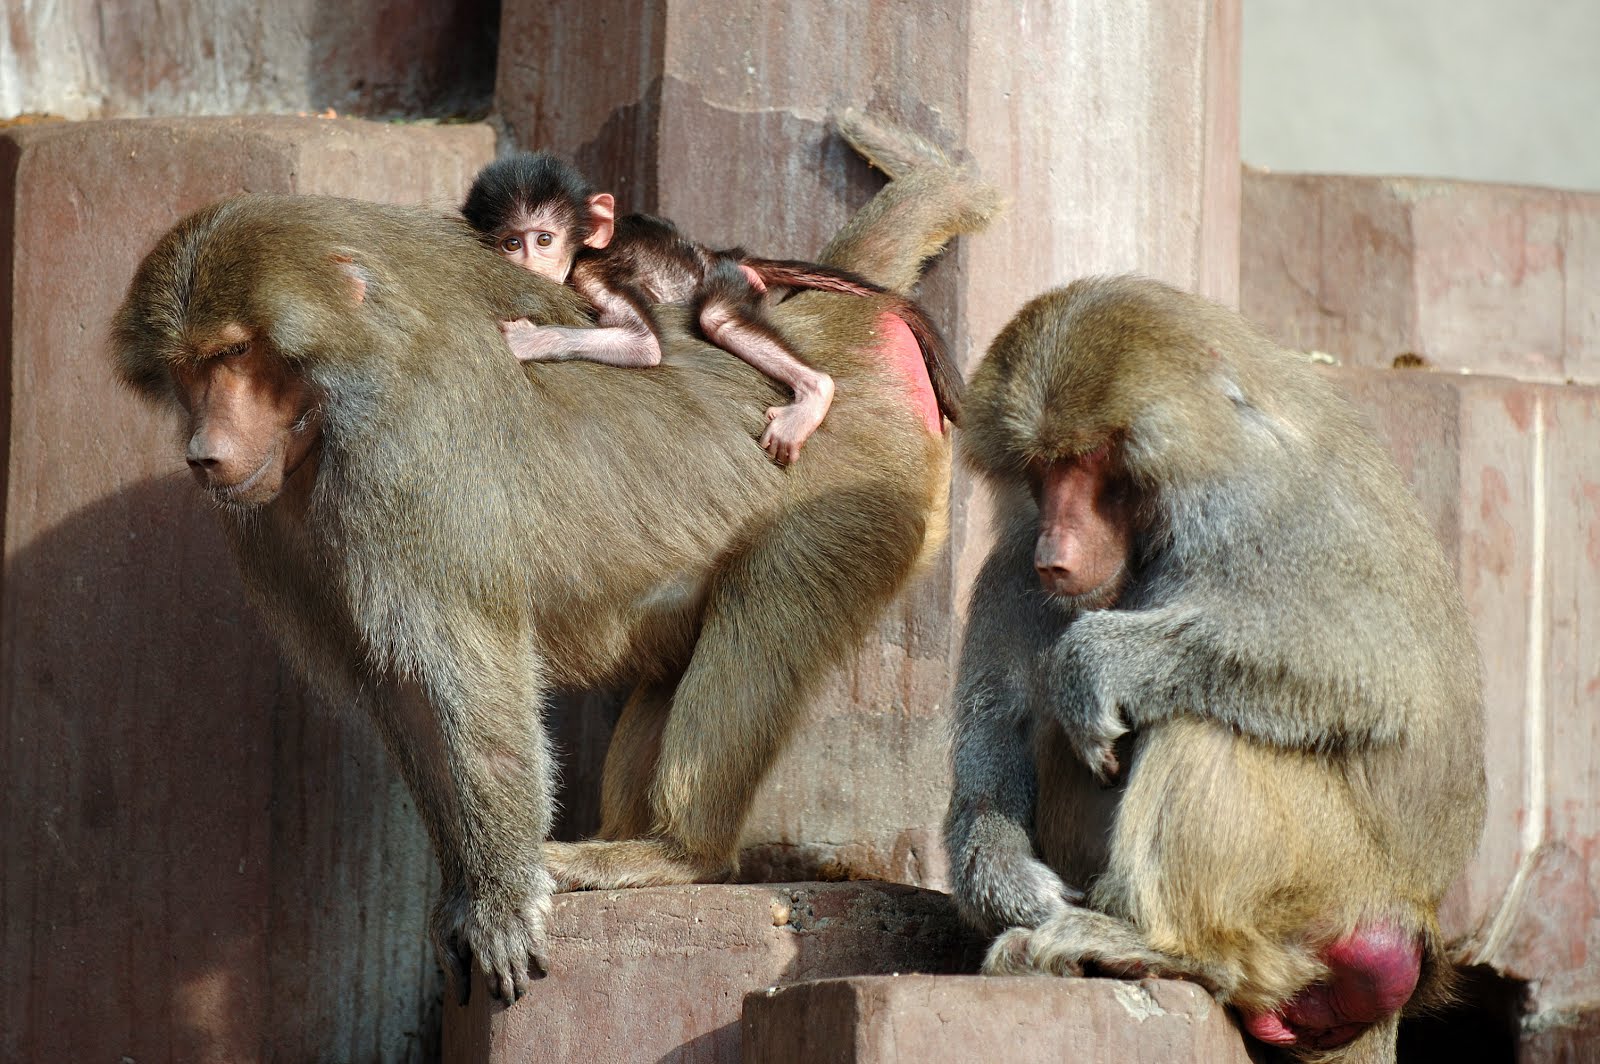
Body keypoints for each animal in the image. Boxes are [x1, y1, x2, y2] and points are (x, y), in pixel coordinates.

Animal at [459, 150, 964, 465]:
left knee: (716, 316)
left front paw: (527, 340)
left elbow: (643, 344)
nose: (530, 262)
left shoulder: (592, 274)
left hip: (723, 279)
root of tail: (715, 251)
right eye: (511, 243)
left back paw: (814, 390)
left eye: (544, 239)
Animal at [943, 275, 1486, 1061]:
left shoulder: (1279, 513)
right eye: (1042, 468)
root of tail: (1415, 913)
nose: (1056, 554)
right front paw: (1012, 886)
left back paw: (1164, 948)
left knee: (1198, 726)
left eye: (1093, 459)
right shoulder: (1013, 570)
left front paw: (1097, 661)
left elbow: (1384, 676)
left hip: (1336, 877)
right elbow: (994, 748)